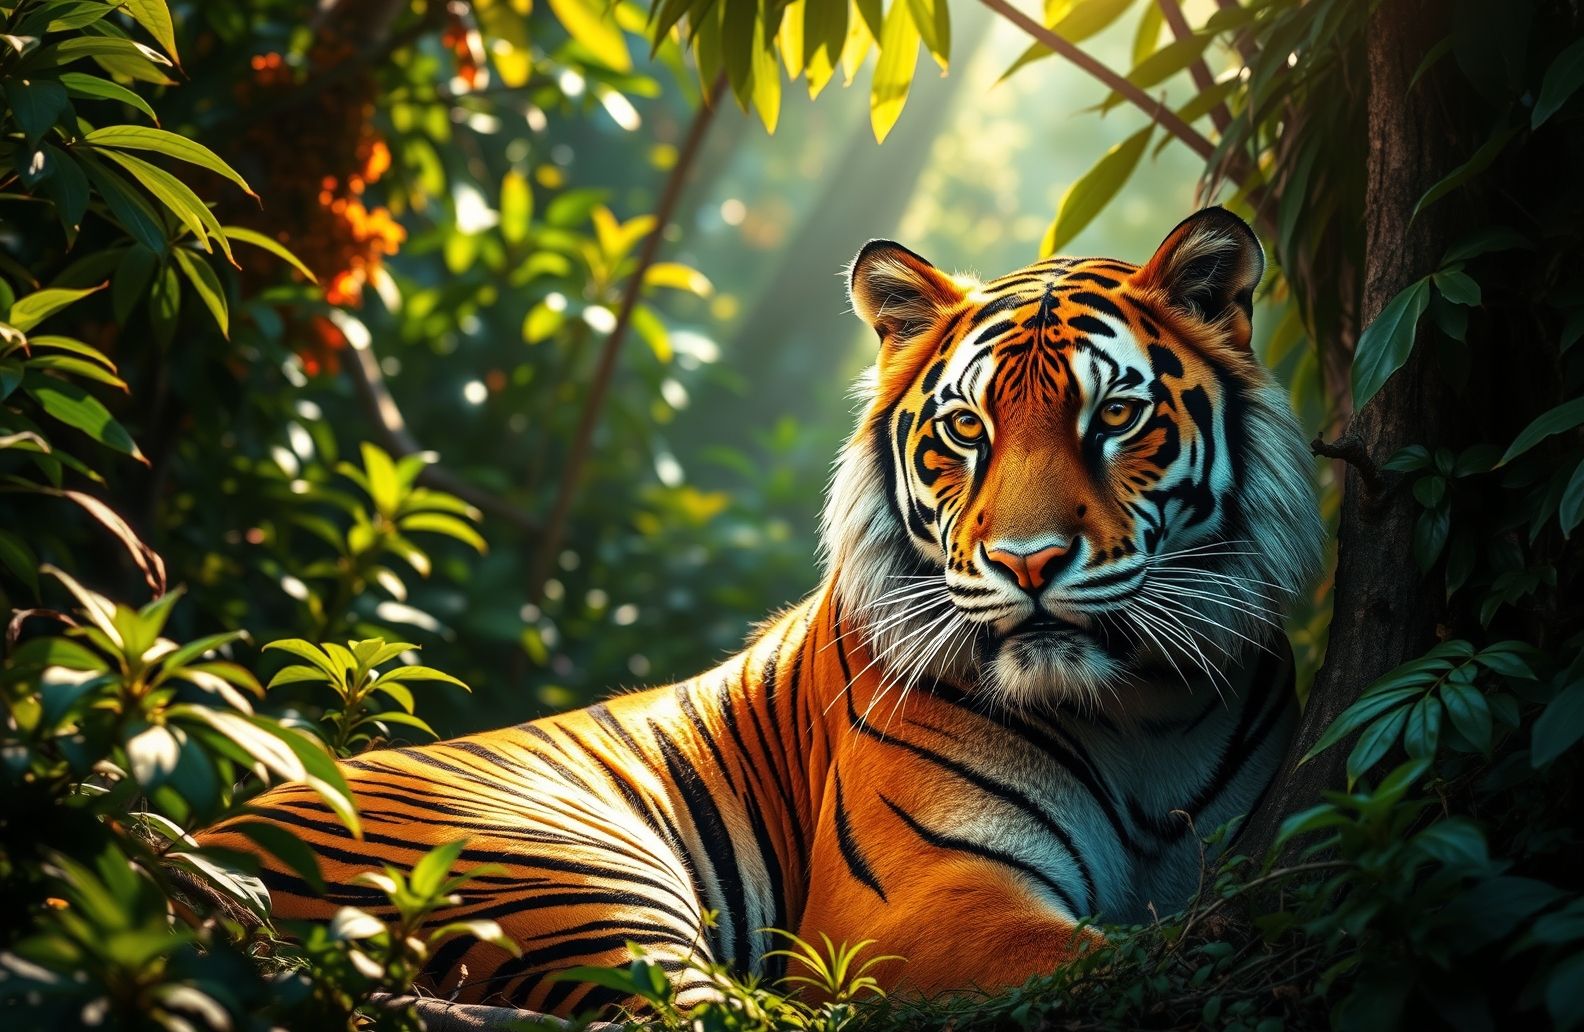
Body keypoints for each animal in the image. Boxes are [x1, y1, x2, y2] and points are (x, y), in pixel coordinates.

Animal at [201, 207, 1323, 1017]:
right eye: (966, 430)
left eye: (1117, 417)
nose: (1028, 562)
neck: (1142, 716)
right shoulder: (915, 904)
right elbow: (1115, 960)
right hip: (558, 867)